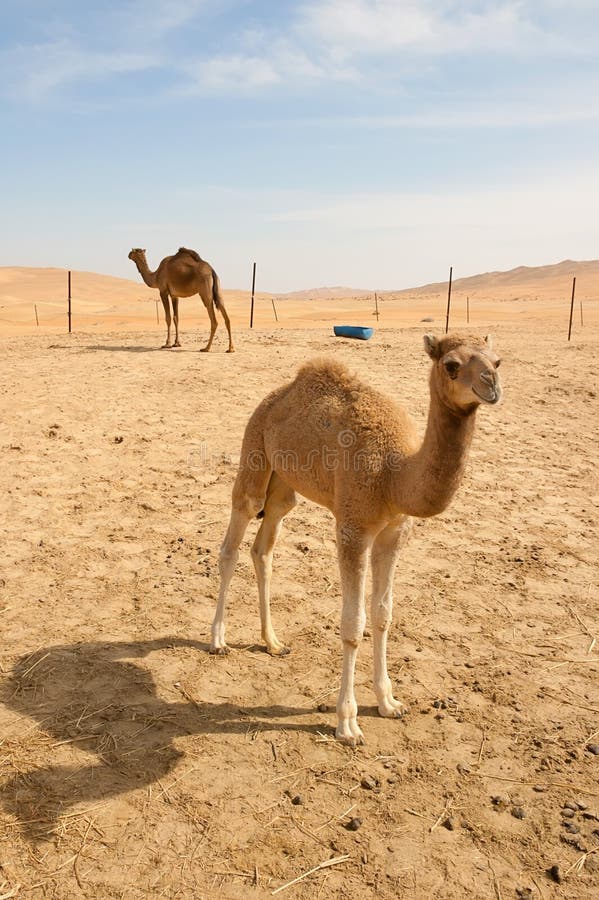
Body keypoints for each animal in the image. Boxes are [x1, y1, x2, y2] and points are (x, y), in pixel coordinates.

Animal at [210, 332, 502, 746]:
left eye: (498, 360)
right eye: (452, 364)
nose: (492, 385)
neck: (395, 475)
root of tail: (274, 396)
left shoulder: (394, 532)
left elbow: (382, 615)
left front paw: (389, 702)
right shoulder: (352, 529)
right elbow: (352, 625)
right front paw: (347, 723)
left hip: (284, 485)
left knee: (263, 548)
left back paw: (273, 642)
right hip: (254, 451)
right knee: (233, 540)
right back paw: (218, 640)